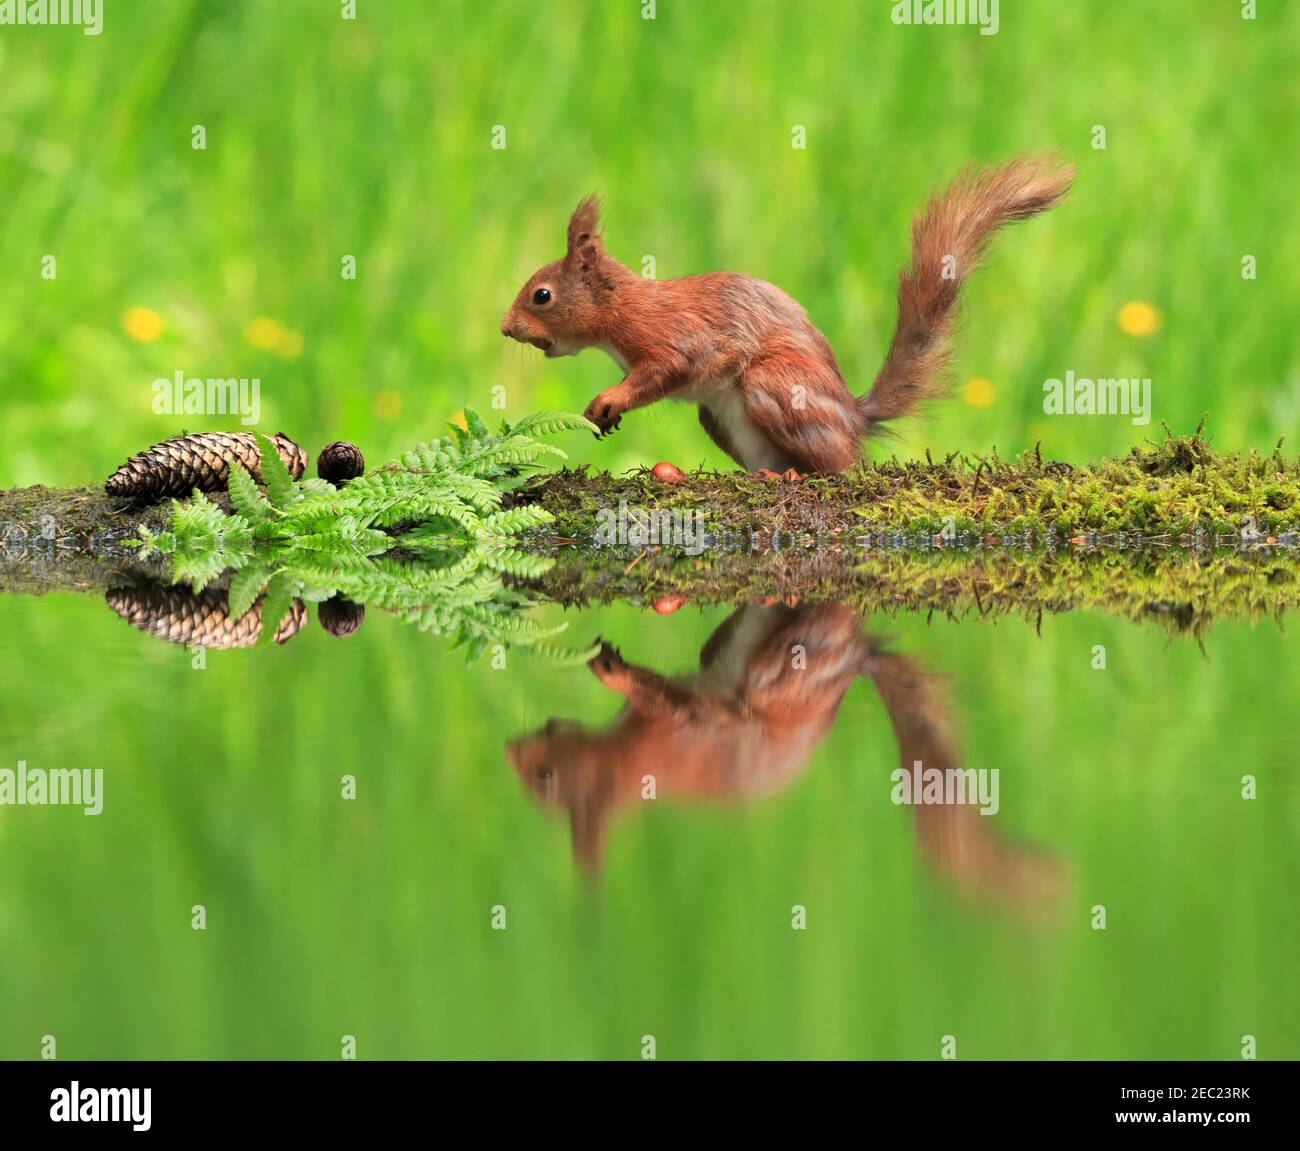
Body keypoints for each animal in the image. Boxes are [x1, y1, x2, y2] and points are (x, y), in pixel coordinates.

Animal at [501, 156, 1073, 476]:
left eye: (542, 296)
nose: (506, 329)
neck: (622, 307)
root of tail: (852, 416)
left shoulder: (673, 337)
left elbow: (668, 368)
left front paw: (609, 400)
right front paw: (604, 416)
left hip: (773, 387)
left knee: (843, 468)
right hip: (719, 420)